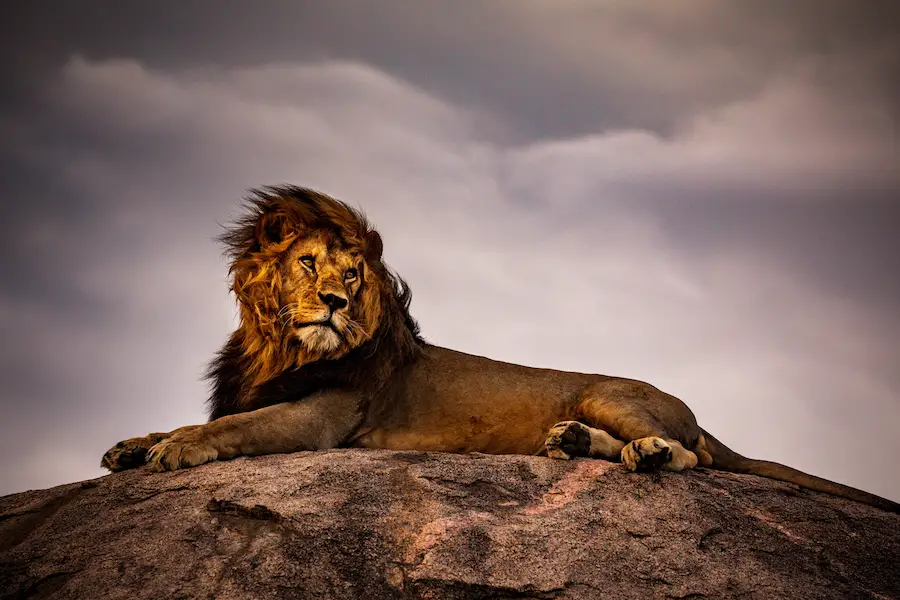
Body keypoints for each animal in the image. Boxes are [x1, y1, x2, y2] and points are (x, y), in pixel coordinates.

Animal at [102, 186, 898, 513]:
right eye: (308, 263)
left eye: (352, 274)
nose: (334, 301)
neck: (280, 349)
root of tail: (696, 413)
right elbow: (192, 416)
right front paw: (131, 445)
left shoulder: (326, 417)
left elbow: (236, 424)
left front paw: (175, 448)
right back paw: (574, 444)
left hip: (611, 389)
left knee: (691, 457)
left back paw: (648, 452)